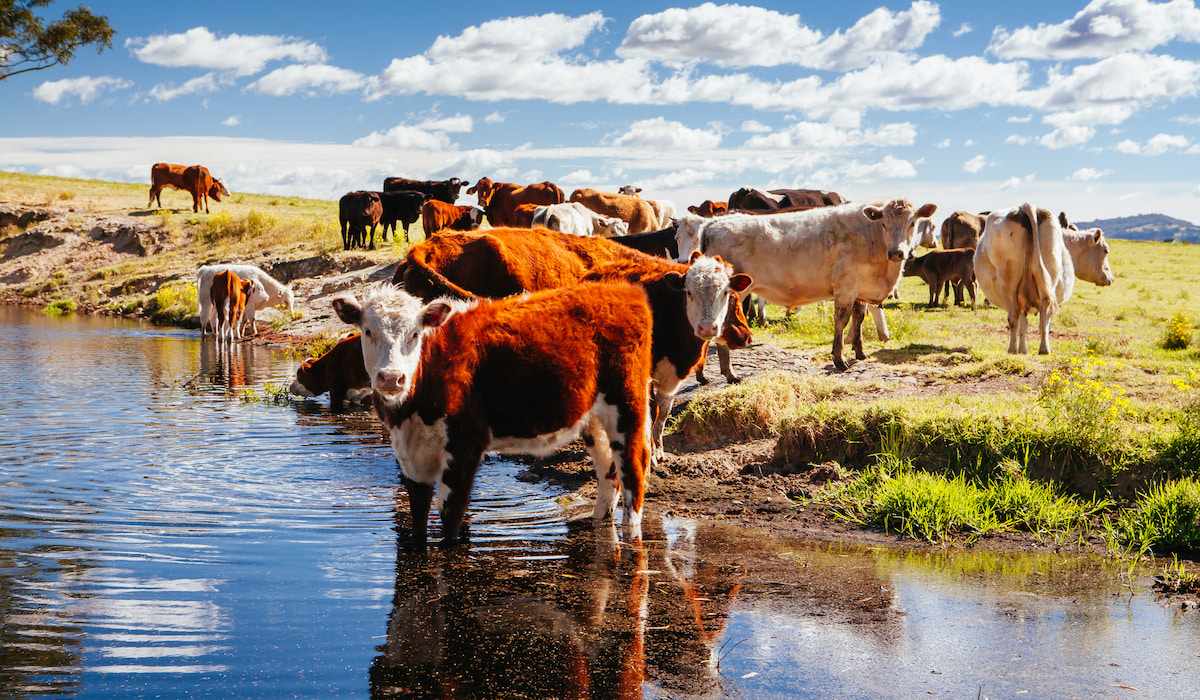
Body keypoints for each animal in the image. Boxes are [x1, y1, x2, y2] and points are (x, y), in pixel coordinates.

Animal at [332, 281, 654, 545]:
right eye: (368, 331)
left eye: (414, 334)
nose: (391, 378)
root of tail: (621, 290)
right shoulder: (410, 455)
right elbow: (419, 518)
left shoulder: (465, 446)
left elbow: (450, 518)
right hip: (593, 414)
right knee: (607, 465)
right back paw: (599, 518)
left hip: (628, 401)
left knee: (633, 465)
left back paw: (630, 530)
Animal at [675, 198, 937, 371]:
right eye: (884, 224)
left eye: (912, 223)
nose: (897, 252)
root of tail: (714, 223)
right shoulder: (846, 286)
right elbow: (842, 321)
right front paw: (839, 359)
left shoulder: (860, 289)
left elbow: (859, 319)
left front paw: (860, 352)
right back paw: (728, 373)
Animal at [974, 203, 1113, 355]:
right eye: (1105, 250)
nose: (1110, 278)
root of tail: (1025, 206)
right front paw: (1023, 349)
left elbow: (1024, 324)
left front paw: (1023, 350)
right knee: (1038, 316)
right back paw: (1034, 349)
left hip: (1010, 279)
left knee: (1019, 315)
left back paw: (1023, 349)